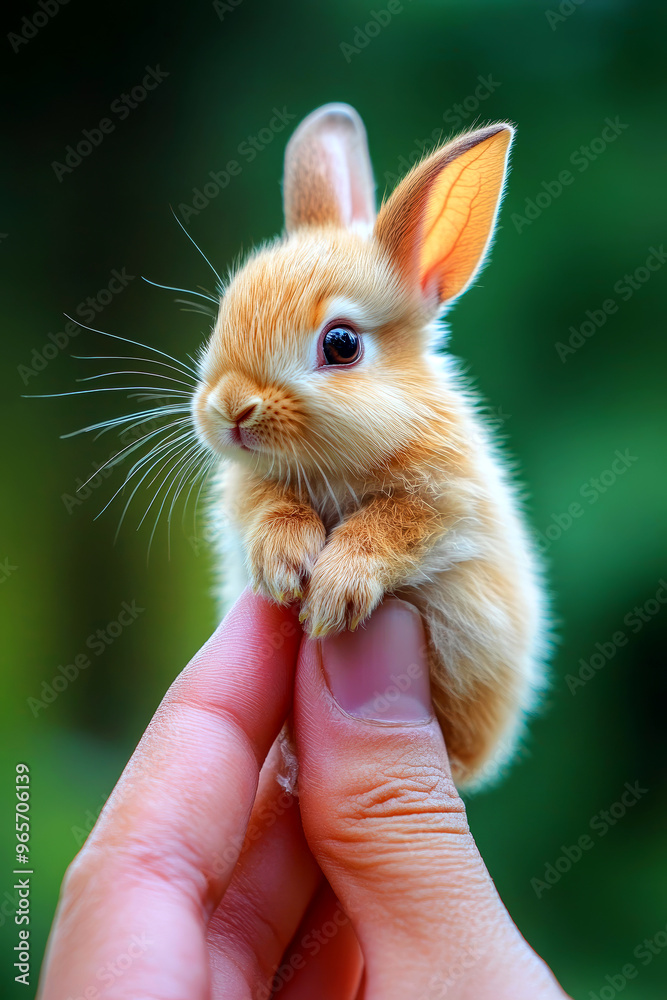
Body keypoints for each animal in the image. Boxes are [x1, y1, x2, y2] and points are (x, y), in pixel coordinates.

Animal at [191, 103, 549, 789]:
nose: (230, 409)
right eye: (223, 315)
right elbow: (269, 509)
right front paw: (284, 568)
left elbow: (387, 528)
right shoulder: (253, 495)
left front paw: (332, 595)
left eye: (342, 344)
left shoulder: (442, 505)